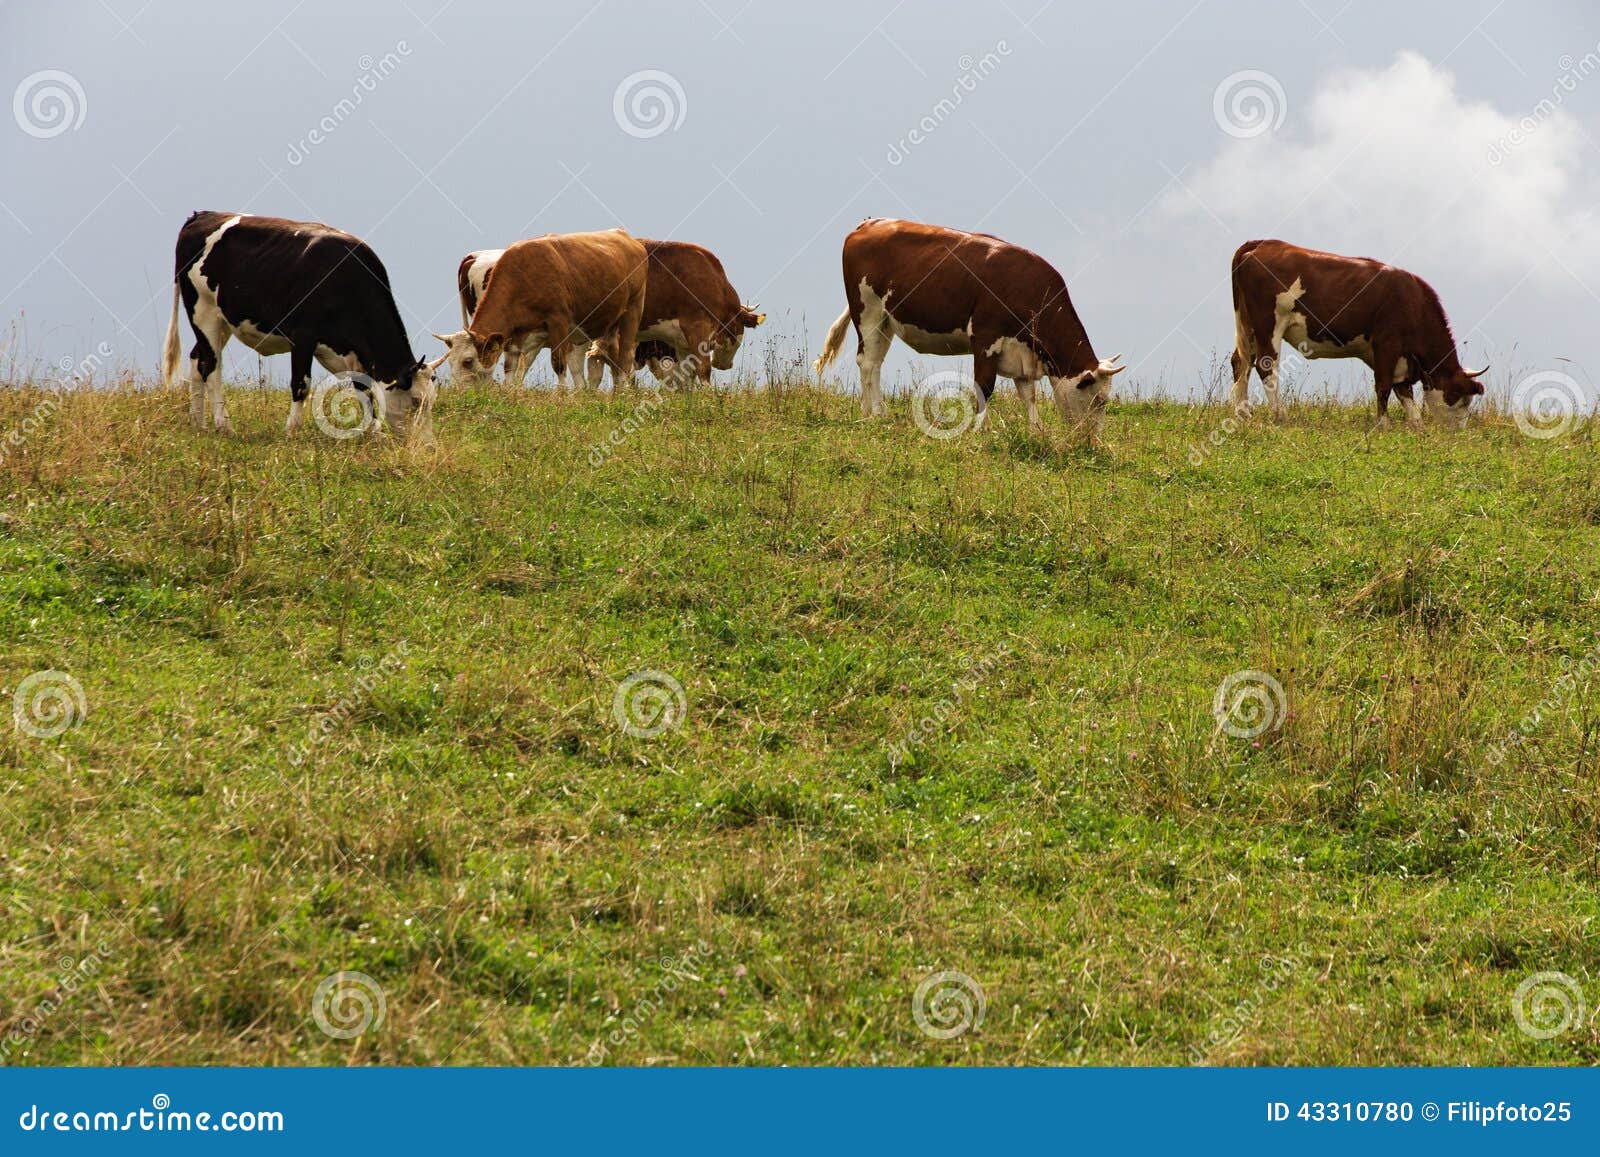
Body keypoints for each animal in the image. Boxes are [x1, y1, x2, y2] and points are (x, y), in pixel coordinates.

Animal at [161, 211, 440, 441]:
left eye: (432, 401)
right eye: (416, 401)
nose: (428, 445)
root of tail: (202, 215)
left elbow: (364, 389)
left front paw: (371, 433)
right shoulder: (303, 336)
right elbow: (301, 385)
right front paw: (292, 431)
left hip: (222, 321)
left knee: (197, 358)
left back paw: (198, 423)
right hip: (202, 310)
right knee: (210, 365)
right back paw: (223, 425)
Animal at [433, 229, 648, 390]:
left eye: (468, 361)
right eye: (450, 361)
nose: (462, 394)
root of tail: (624, 236)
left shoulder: (558, 321)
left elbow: (558, 363)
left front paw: (561, 394)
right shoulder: (514, 334)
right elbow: (510, 366)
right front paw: (509, 394)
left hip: (633, 310)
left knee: (625, 356)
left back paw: (621, 393)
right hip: (610, 323)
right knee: (611, 356)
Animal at [812, 218, 1124, 433]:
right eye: (1099, 400)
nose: (1092, 442)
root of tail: (870, 222)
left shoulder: (1021, 351)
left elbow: (1029, 395)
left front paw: (1036, 430)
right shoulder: (986, 339)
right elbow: (984, 387)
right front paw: (978, 430)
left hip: (886, 320)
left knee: (873, 363)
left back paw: (869, 412)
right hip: (869, 311)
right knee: (867, 362)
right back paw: (878, 413)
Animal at [1229, 240, 1487, 429]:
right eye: (1459, 396)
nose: (1458, 431)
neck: (1413, 301)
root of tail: (1263, 244)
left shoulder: (1400, 357)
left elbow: (1403, 390)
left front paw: (1417, 425)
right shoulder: (1387, 343)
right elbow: (1384, 385)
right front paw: (1383, 424)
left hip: (1248, 326)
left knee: (1241, 363)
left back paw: (1244, 414)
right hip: (1269, 323)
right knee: (1266, 366)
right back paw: (1280, 415)